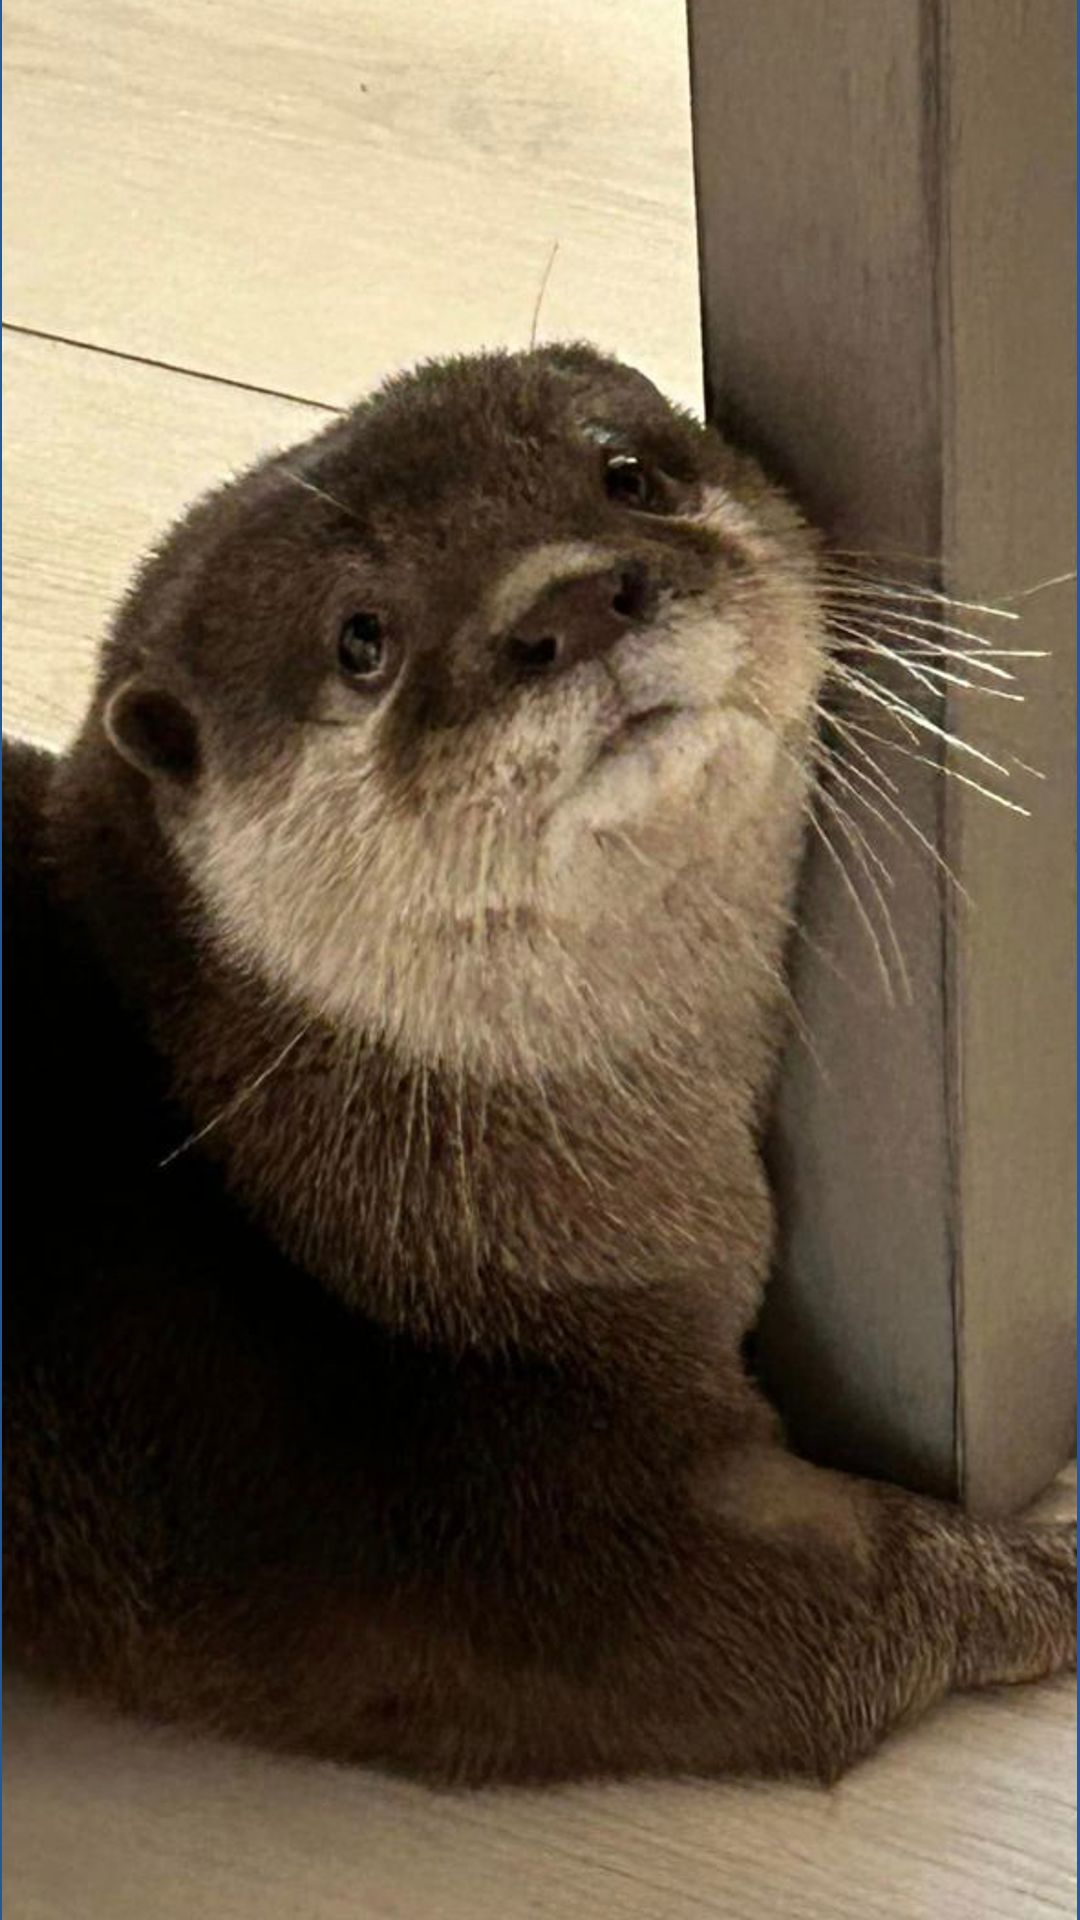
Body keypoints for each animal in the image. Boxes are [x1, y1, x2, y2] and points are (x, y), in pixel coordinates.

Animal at [4, 344, 1074, 1784]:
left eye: (627, 474)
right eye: (360, 638)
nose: (568, 599)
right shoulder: (465, 1548)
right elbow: (812, 1622)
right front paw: (1049, 1564)